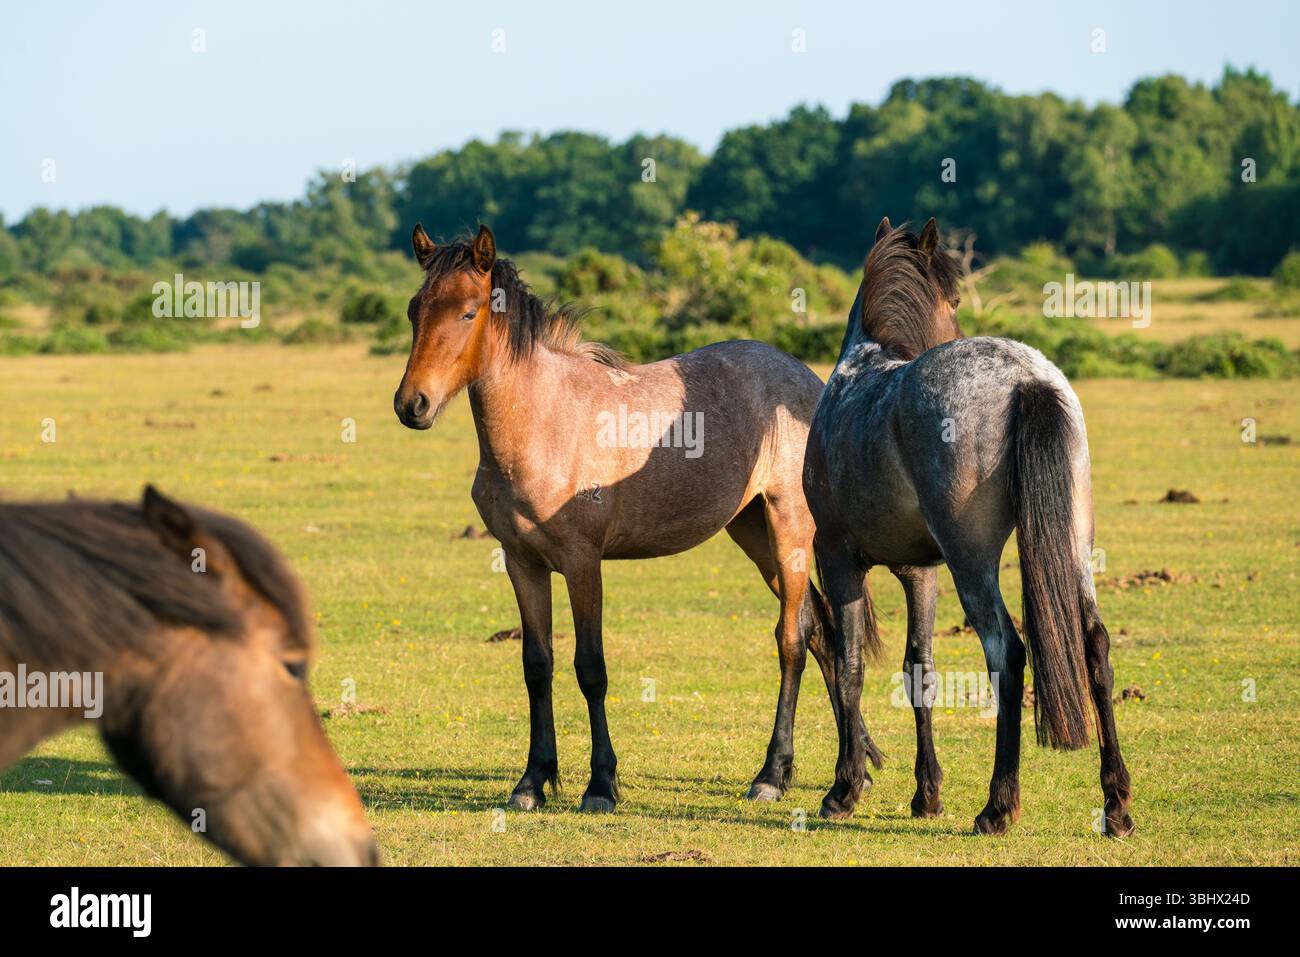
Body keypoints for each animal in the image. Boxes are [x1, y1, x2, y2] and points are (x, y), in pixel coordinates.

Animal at [393, 223, 871, 812]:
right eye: (415, 309)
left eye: (467, 311)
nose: (412, 404)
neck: (545, 422)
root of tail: (808, 384)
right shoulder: (522, 563)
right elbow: (537, 666)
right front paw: (532, 782)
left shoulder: (582, 563)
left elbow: (590, 669)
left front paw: (600, 784)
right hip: (753, 533)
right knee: (822, 631)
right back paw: (854, 768)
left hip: (790, 532)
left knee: (793, 640)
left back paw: (772, 774)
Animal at [803, 217, 1134, 836]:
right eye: (955, 299)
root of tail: (1025, 380)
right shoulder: (921, 571)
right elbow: (920, 670)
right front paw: (926, 793)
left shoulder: (838, 557)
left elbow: (850, 663)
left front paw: (844, 789)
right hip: (1073, 545)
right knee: (1094, 643)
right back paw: (1117, 803)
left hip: (971, 560)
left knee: (1007, 650)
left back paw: (998, 806)